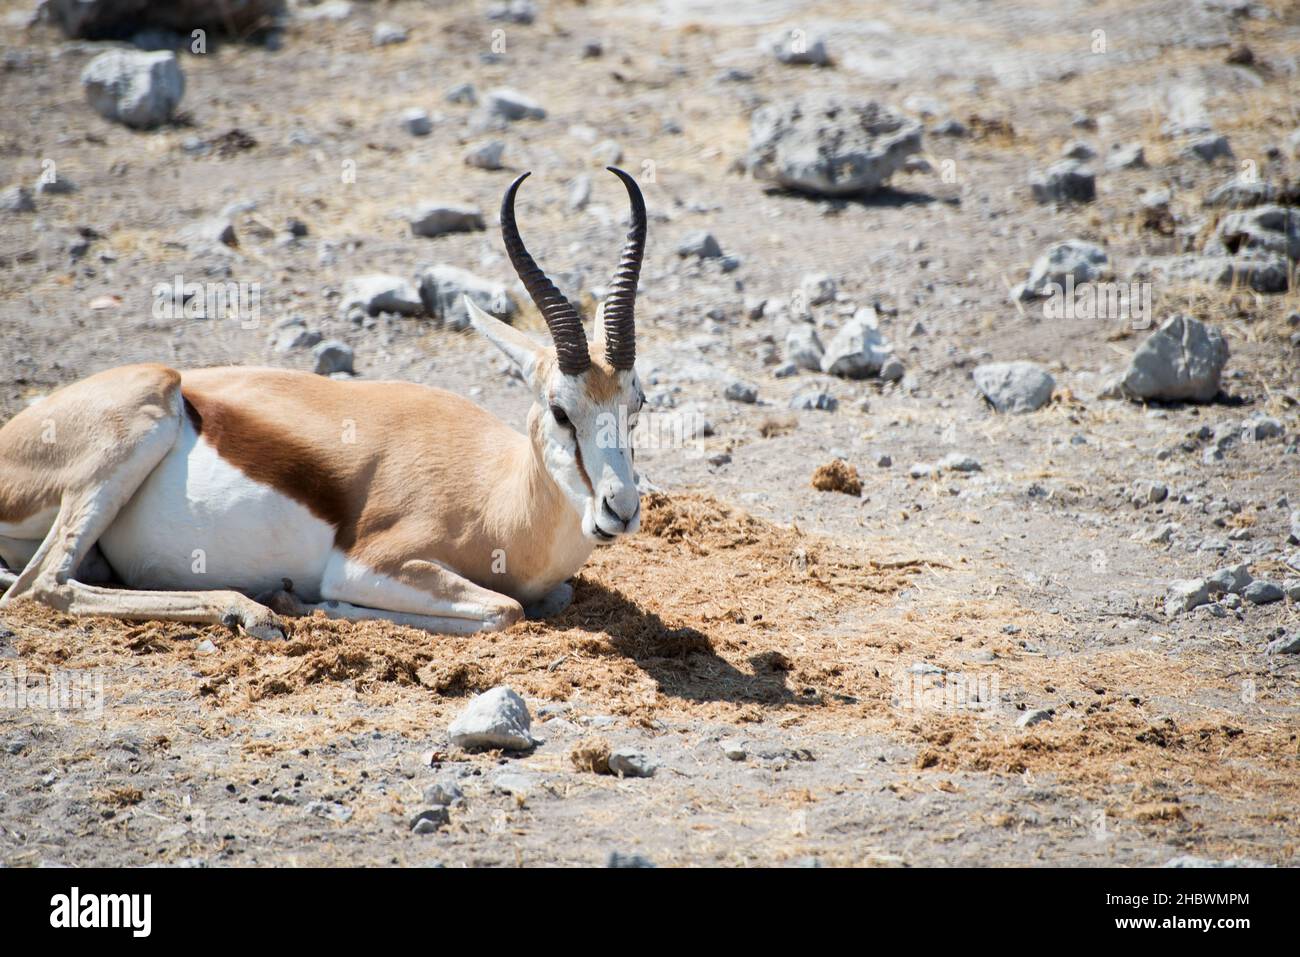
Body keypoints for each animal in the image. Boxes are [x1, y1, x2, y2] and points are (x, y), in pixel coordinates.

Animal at [0, 168, 648, 638]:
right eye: (560, 410)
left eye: (636, 405)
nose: (620, 510)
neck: (498, 496)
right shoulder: (372, 564)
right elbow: (505, 610)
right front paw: (312, 604)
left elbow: (544, 600)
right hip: (138, 420)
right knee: (40, 586)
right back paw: (255, 609)